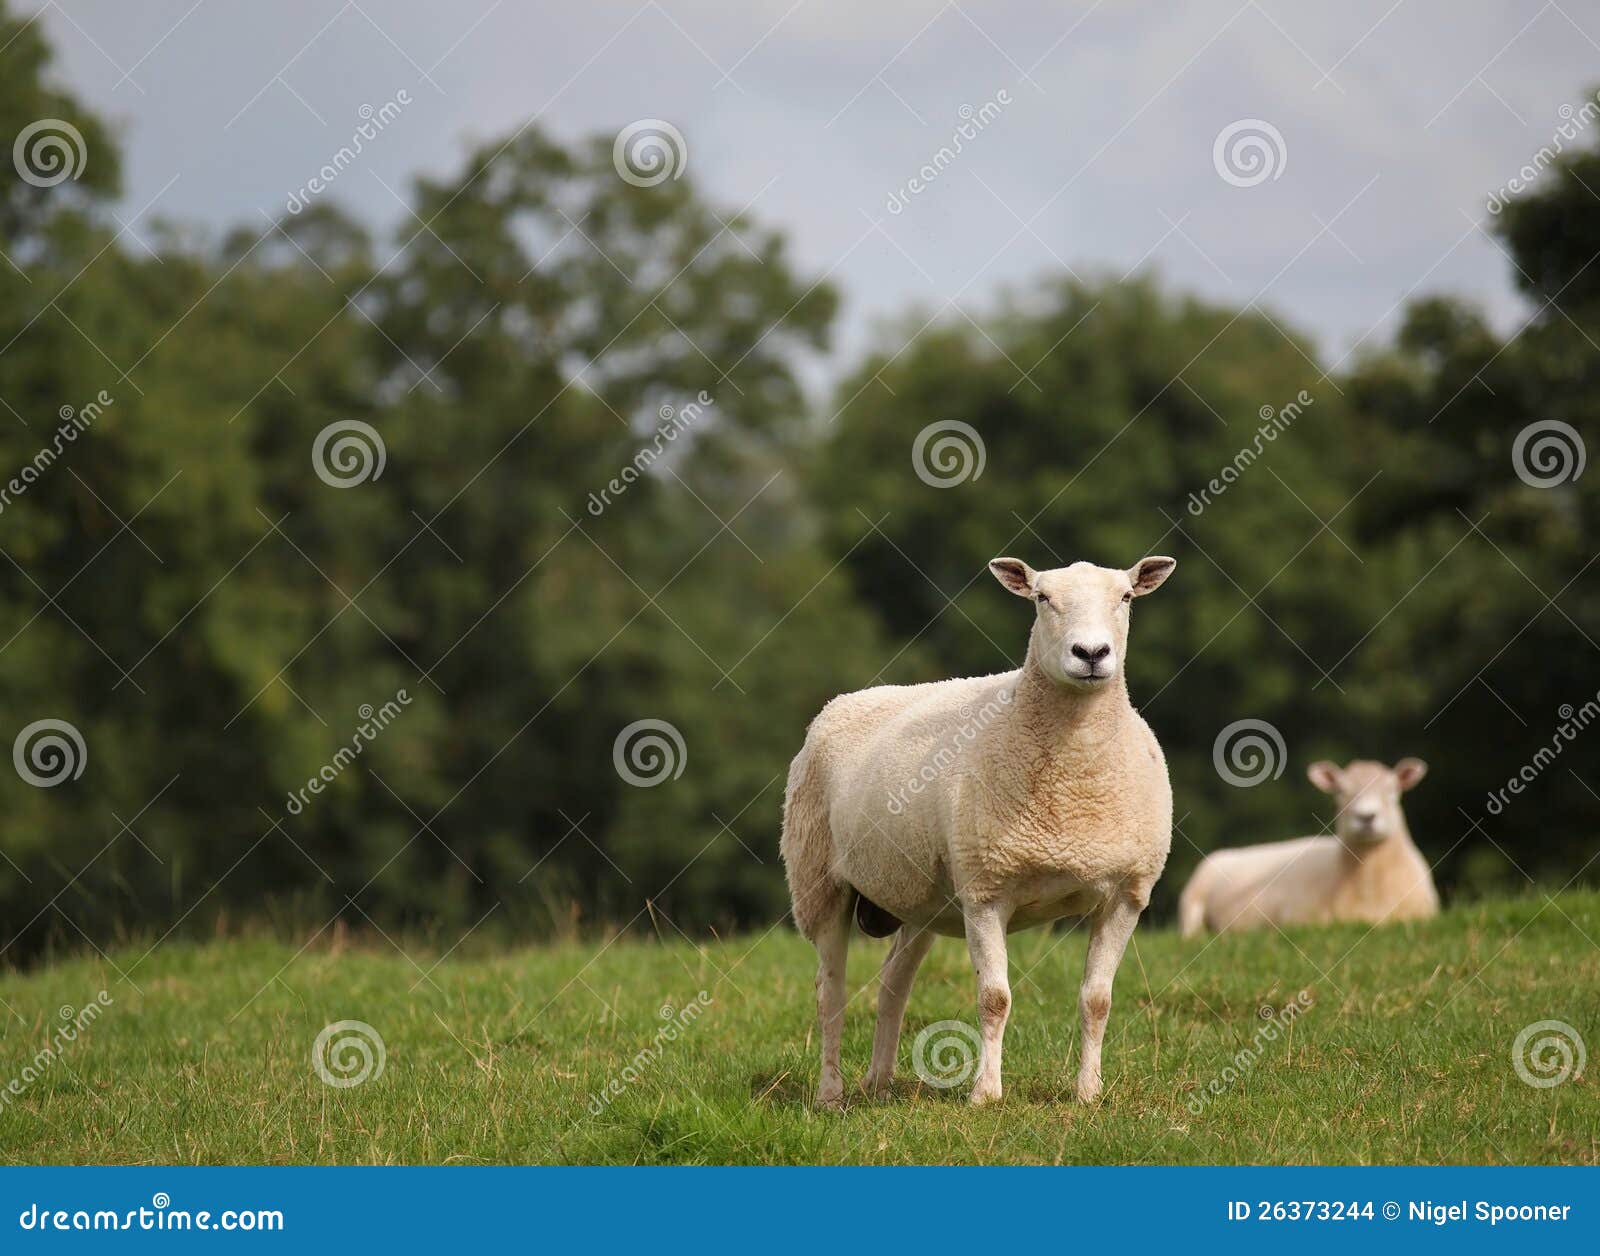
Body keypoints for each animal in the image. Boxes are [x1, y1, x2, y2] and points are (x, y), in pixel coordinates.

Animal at [780, 554, 1177, 1109]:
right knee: (830, 991)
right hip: (819, 879)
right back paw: (830, 1093)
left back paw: (879, 1082)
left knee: (893, 982)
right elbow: (994, 998)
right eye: (1042, 598)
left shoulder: (1125, 895)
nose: (1092, 654)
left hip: (921, 899)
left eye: (1125, 597)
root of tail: (841, 701)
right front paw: (986, 1094)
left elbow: (1097, 1000)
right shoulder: (987, 890)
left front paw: (1088, 1094)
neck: (1073, 777)